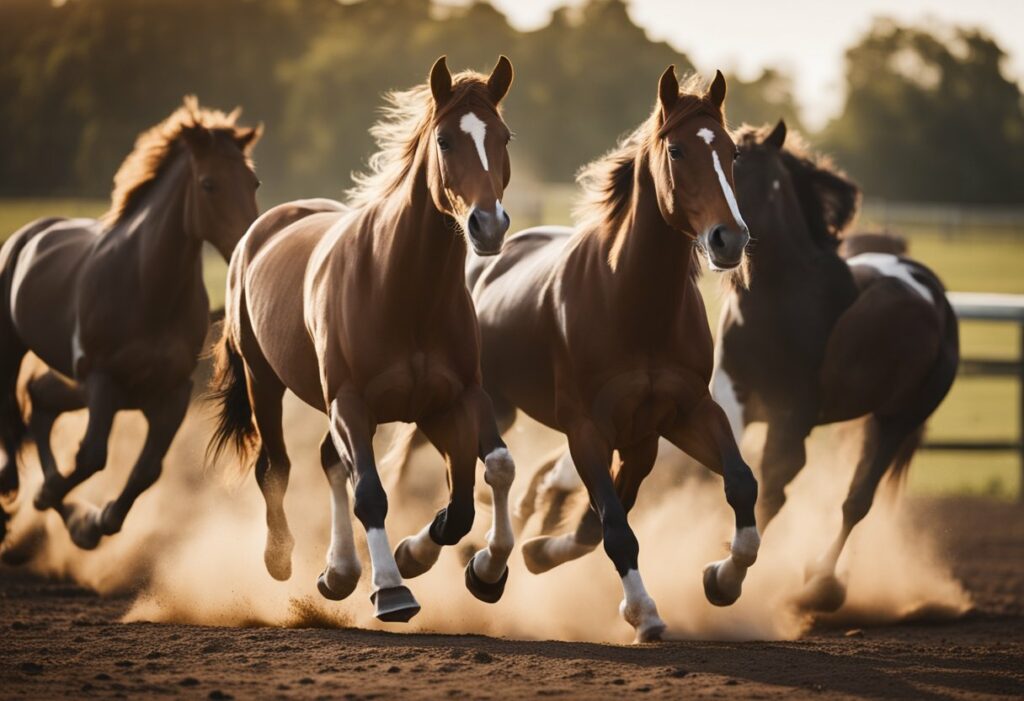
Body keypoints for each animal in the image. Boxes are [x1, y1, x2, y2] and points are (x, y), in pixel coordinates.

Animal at [0, 97, 261, 550]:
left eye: (254, 182)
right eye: (208, 184)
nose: (251, 243)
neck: (147, 288)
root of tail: (31, 232)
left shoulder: (170, 392)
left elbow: (146, 471)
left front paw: (90, 522)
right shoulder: (103, 378)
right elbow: (91, 455)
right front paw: (66, 508)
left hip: (87, 386)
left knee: (40, 403)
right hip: (23, 351)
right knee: (13, 414)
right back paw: (13, 489)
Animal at [206, 56, 517, 623]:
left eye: (503, 137)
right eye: (444, 141)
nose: (488, 226)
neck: (401, 286)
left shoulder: (454, 399)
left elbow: (479, 486)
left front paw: (468, 566)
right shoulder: (351, 401)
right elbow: (371, 492)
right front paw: (393, 588)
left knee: (331, 460)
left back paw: (340, 572)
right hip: (266, 383)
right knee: (278, 467)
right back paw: (283, 557)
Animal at [454, 67, 760, 642]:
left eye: (732, 152)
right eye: (677, 150)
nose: (729, 239)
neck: (634, 306)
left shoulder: (669, 421)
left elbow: (739, 485)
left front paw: (721, 579)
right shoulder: (587, 429)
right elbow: (615, 525)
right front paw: (644, 612)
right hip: (487, 403)